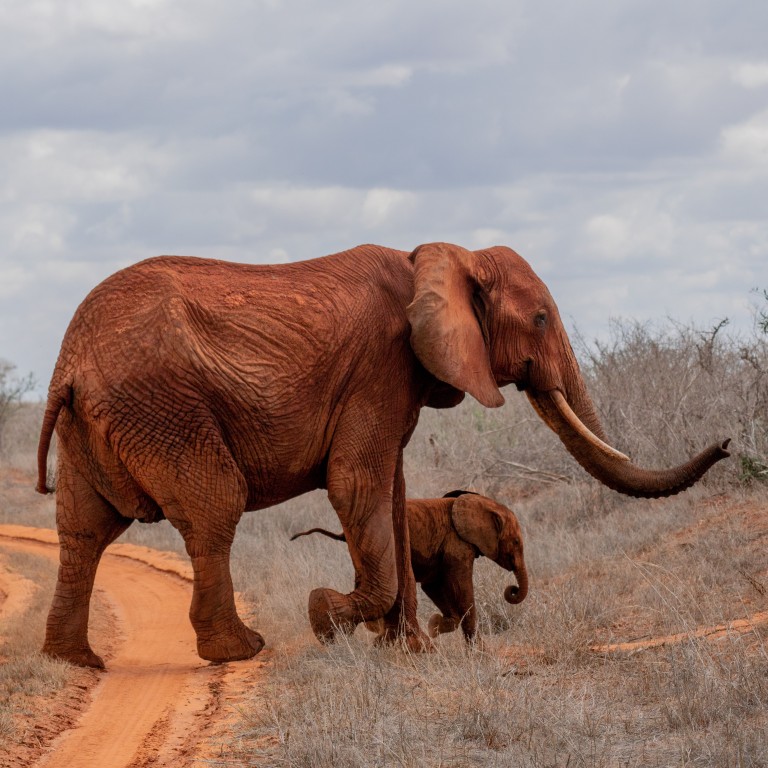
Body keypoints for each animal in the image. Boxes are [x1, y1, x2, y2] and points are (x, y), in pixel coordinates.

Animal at [291, 490, 528, 643]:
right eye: (516, 542)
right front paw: (478, 653)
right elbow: (461, 587)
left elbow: (433, 585)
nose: (512, 590)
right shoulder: (456, 543)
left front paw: (434, 627)